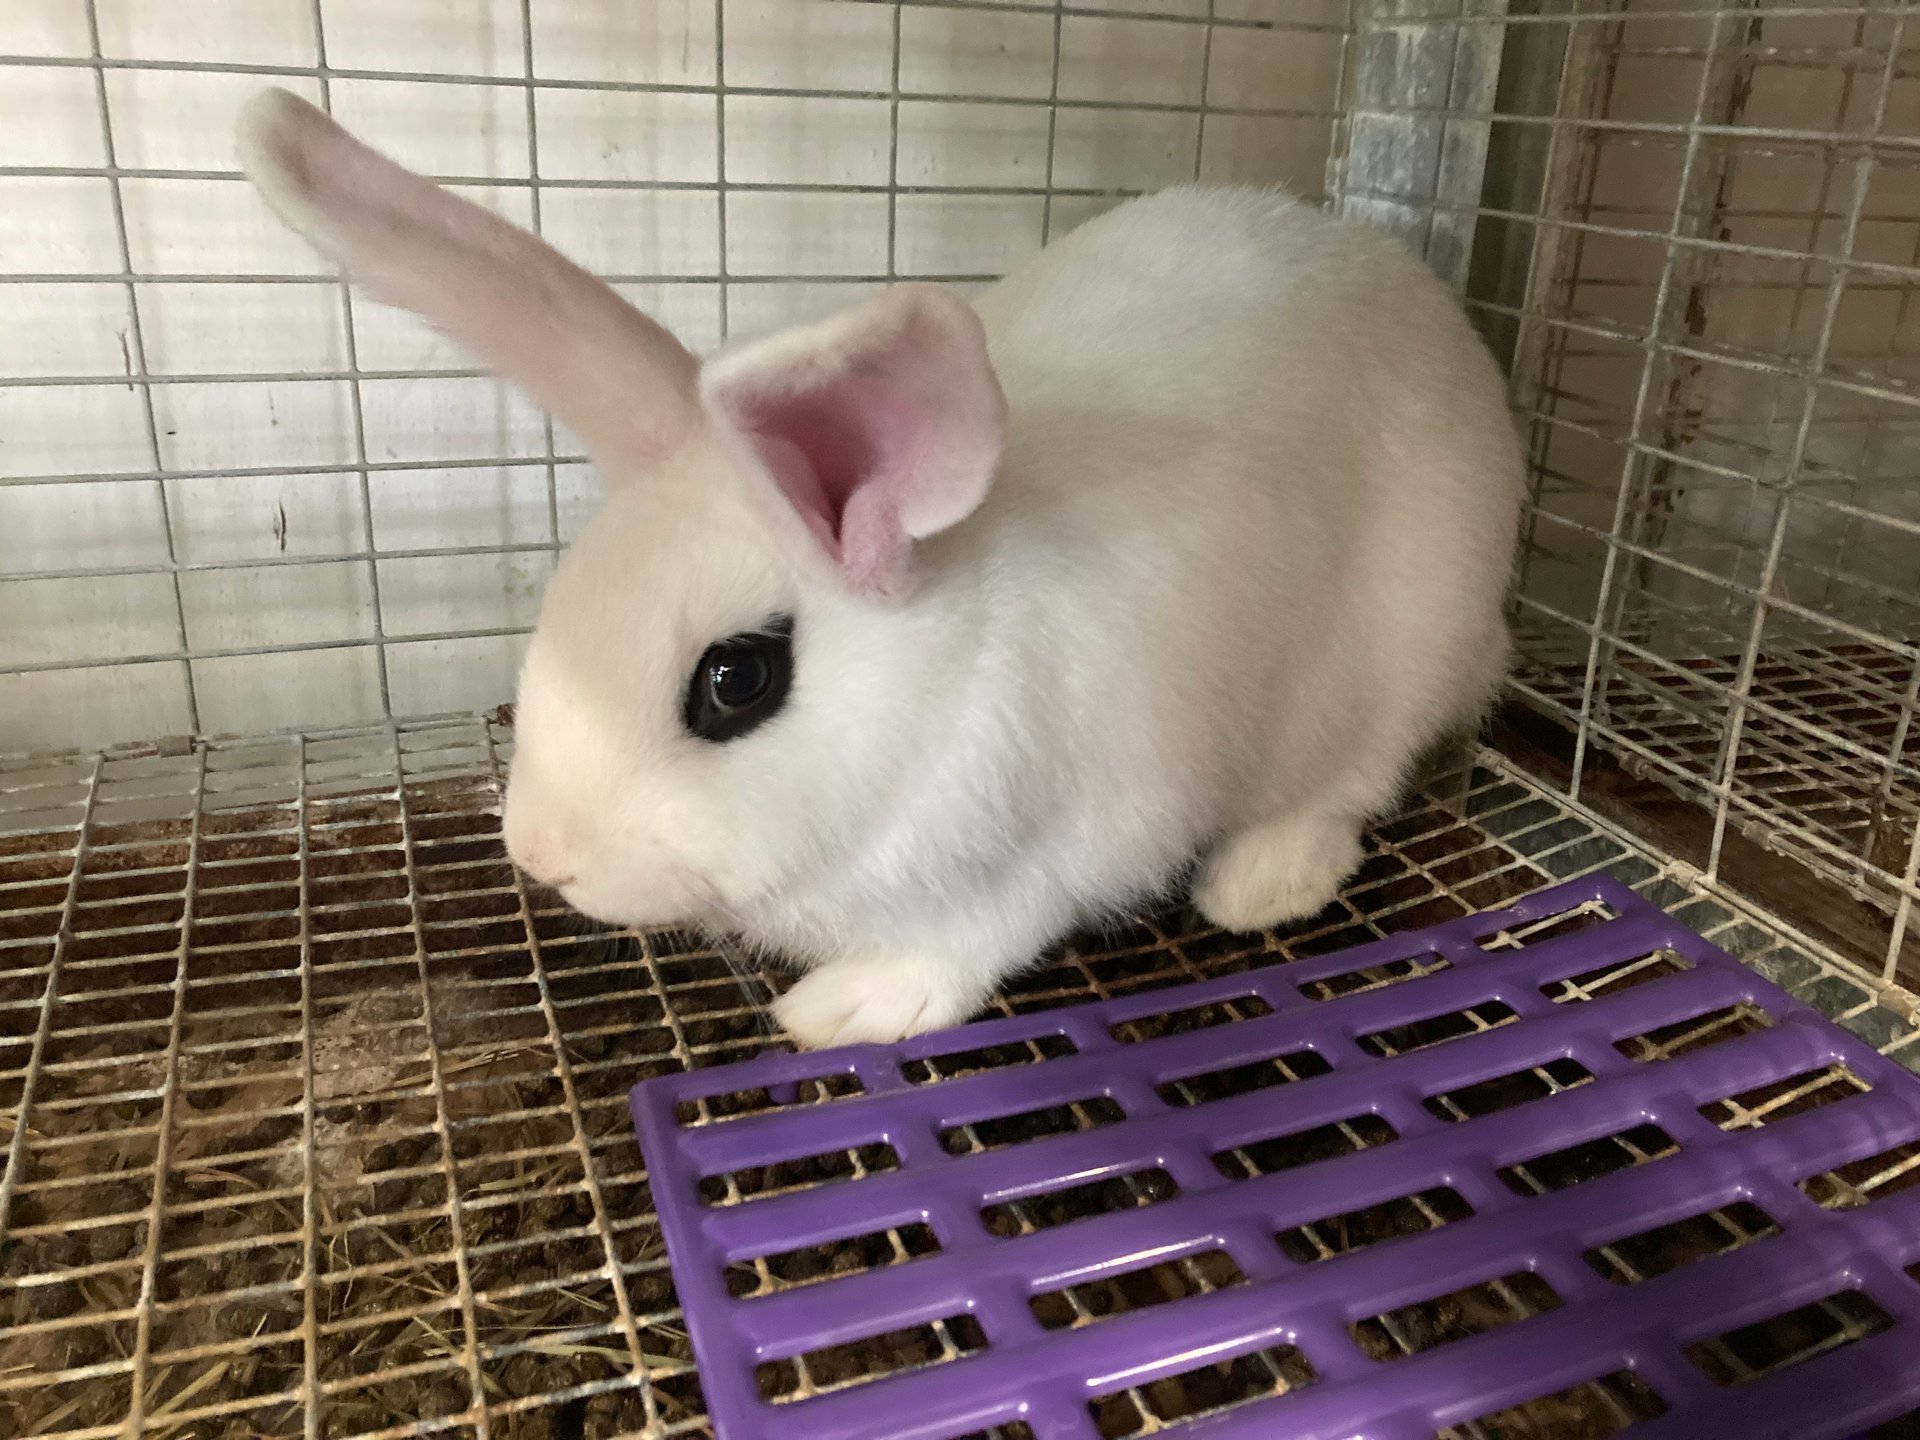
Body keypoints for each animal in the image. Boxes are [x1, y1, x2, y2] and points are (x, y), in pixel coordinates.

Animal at [239, 88, 1524, 1050]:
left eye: (736, 682)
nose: (541, 858)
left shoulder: (1069, 840)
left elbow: (969, 941)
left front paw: (846, 1007)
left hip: (1413, 634)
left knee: (1355, 773)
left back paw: (1264, 879)